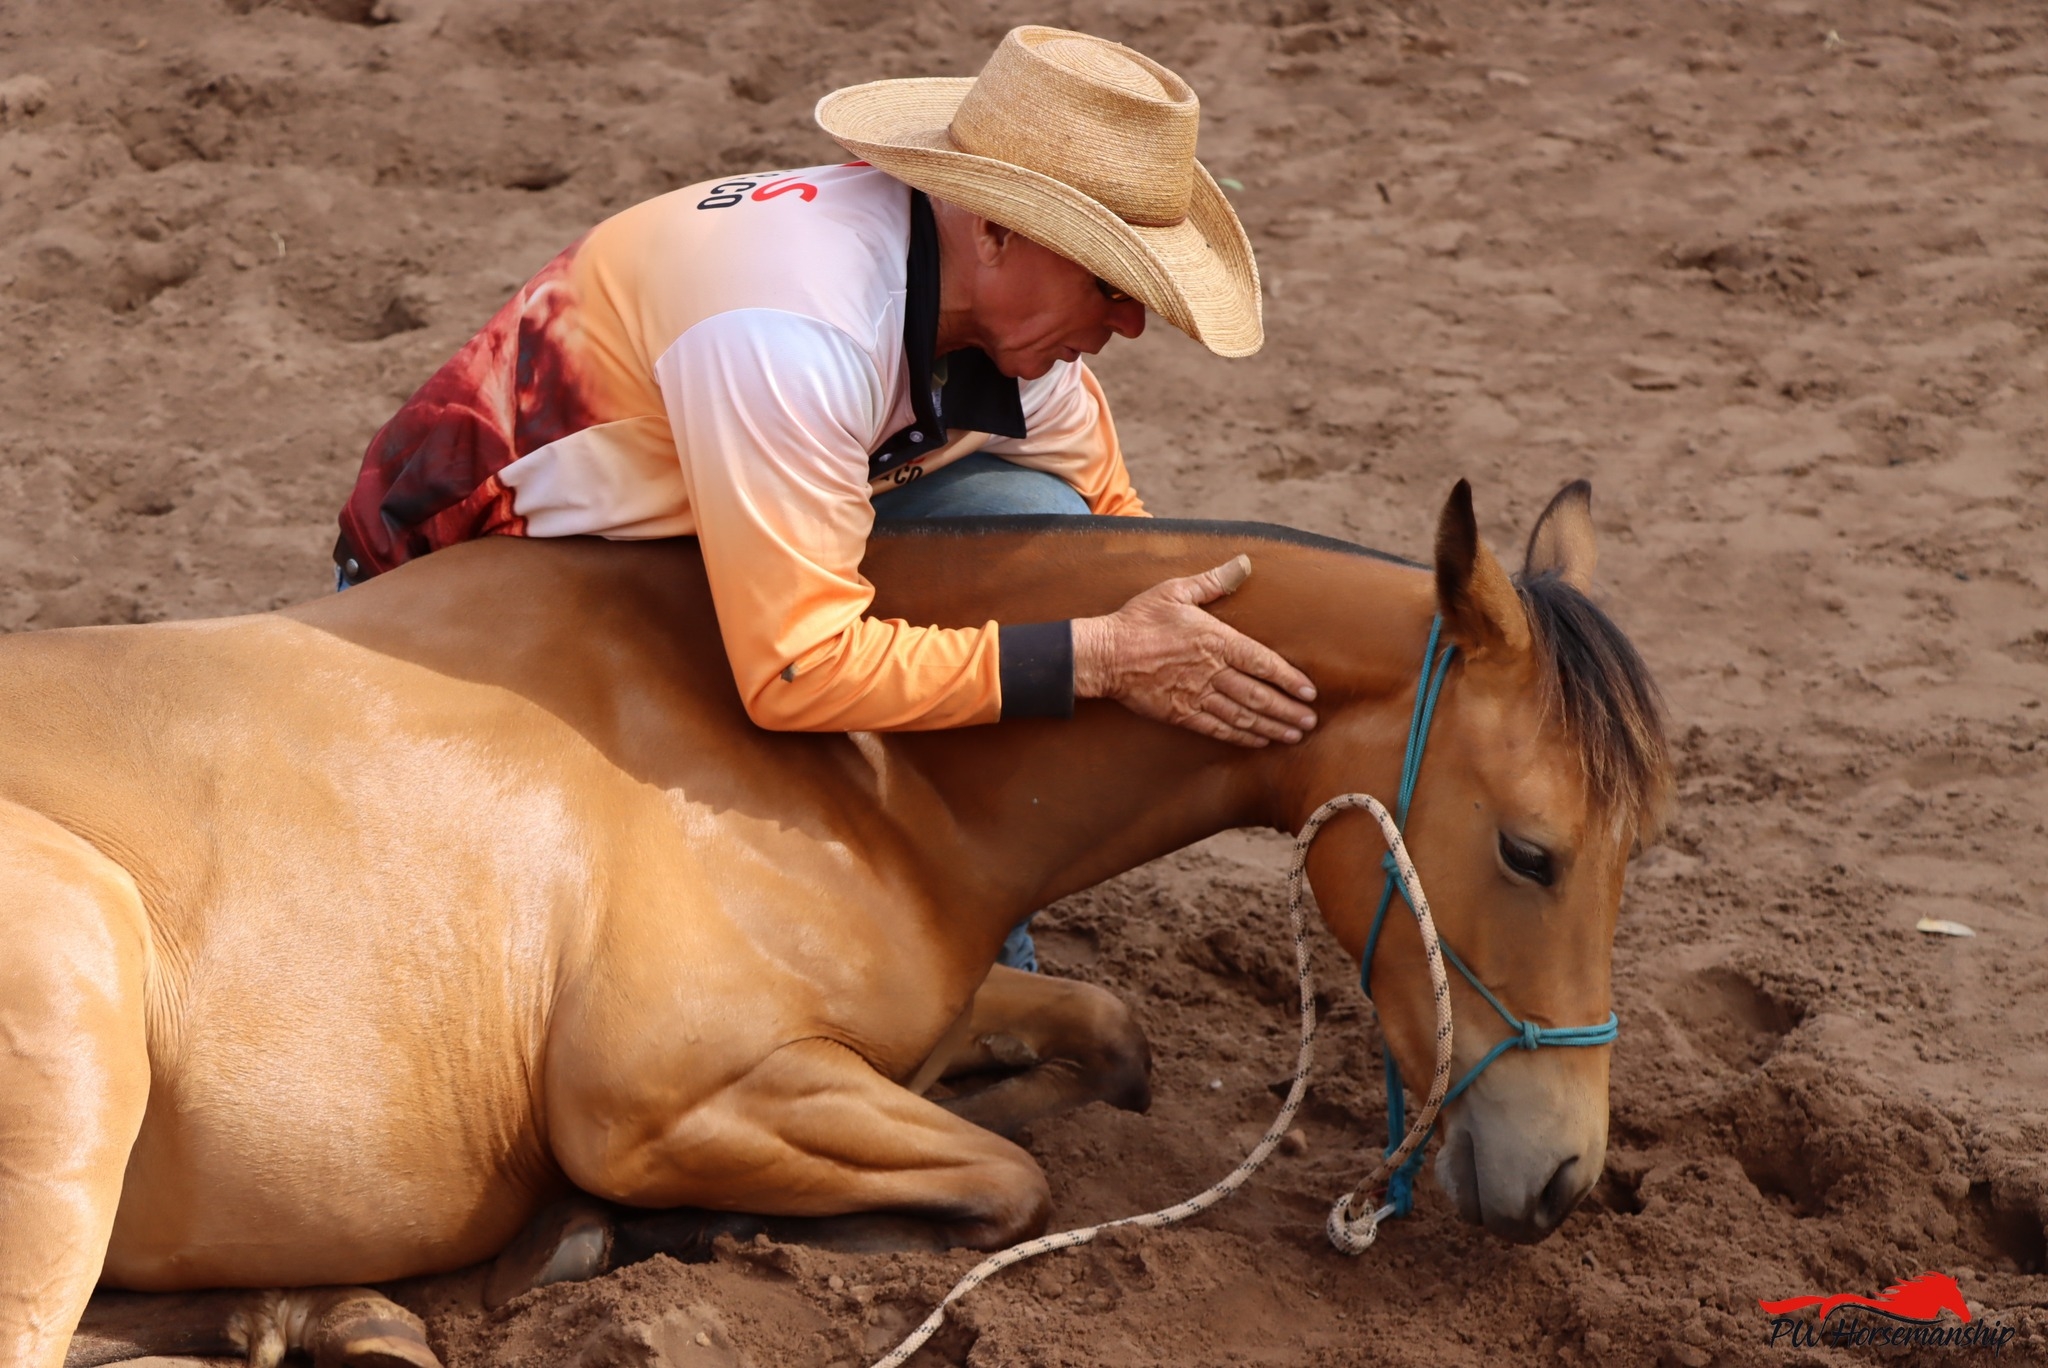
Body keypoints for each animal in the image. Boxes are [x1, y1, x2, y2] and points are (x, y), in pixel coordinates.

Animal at [0, 480, 1668, 1368]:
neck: (843, 759)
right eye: (1530, 850)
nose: (1561, 1181)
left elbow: (1099, 1040)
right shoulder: (680, 1099)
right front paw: (639, 1236)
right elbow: (1005, 1180)